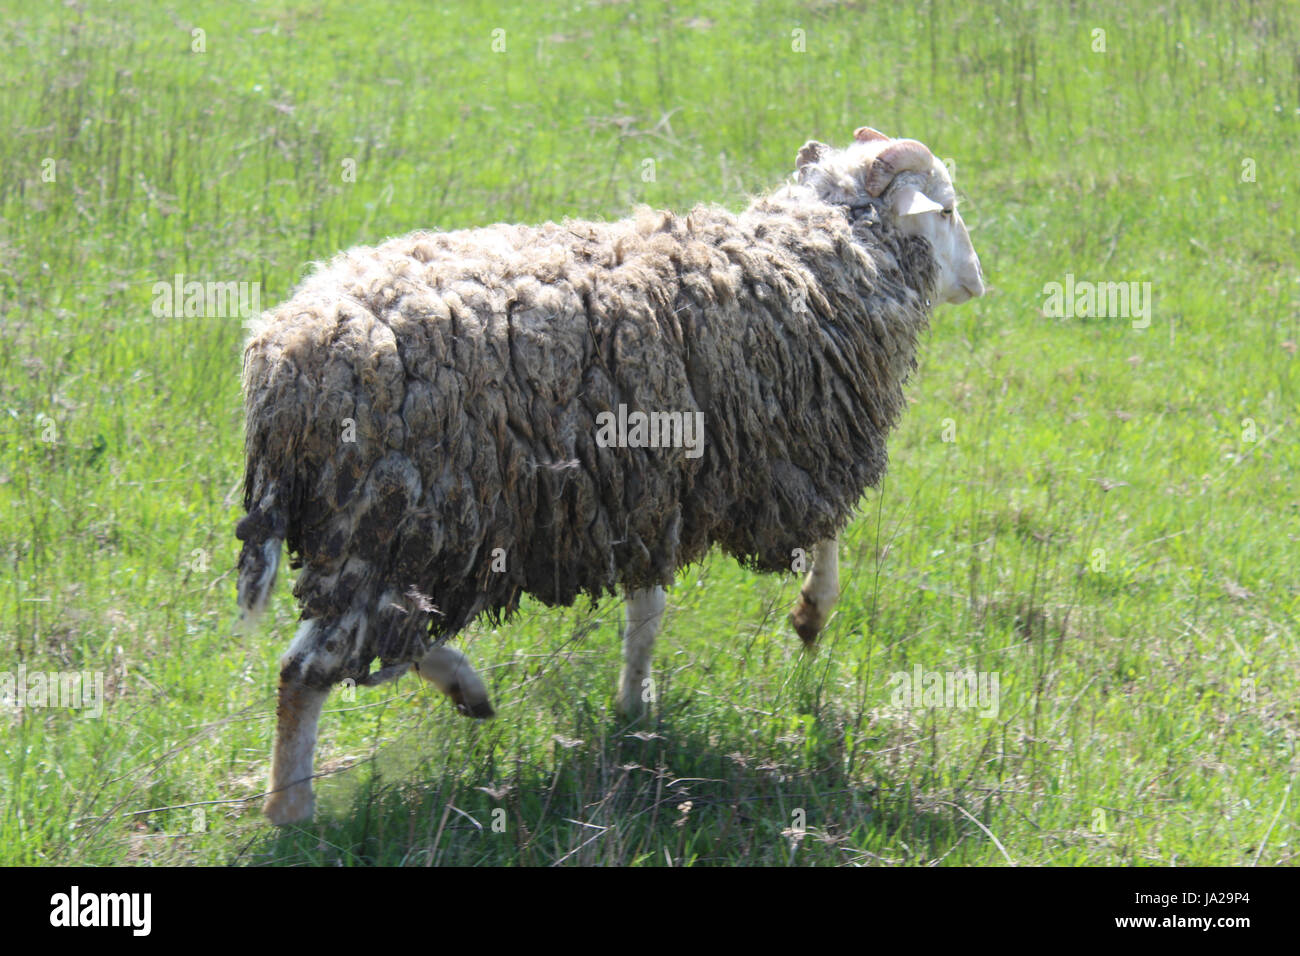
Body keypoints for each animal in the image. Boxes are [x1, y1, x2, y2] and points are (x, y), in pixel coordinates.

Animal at [237, 126, 985, 825]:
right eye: (947, 209)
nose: (980, 282)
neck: (814, 259)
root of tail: (283, 359)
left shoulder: (648, 492)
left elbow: (646, 612)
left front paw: (634, 707)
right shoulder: (794, 454)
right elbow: (826, 539)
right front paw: (810, 615)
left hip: (393, 532)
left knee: (373, 636)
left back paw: (462, 691)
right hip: (397, 515)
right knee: (311, 667)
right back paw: (292, 808)